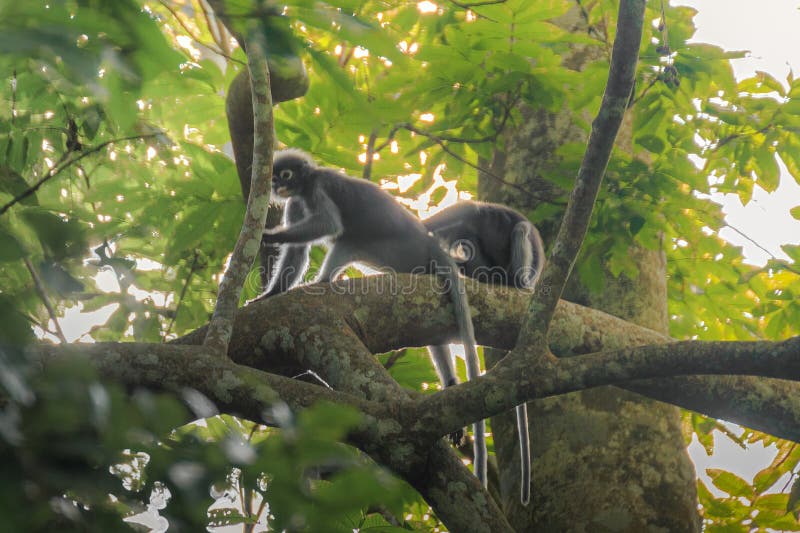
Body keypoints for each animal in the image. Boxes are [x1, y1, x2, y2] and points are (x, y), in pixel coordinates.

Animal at [260, 149, 488, 485]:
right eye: (275, 178)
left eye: (285, 175)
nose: (278, 185)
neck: (304, 187)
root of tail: (429, 241)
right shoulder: (296, 202)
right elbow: (298, 251)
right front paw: (269, 295)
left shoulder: (318, 189)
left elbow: (328, 223)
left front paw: (271, 236)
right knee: (433, 334)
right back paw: (450, 383)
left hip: (394, 247)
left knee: (346, 237)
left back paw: (322, 282)